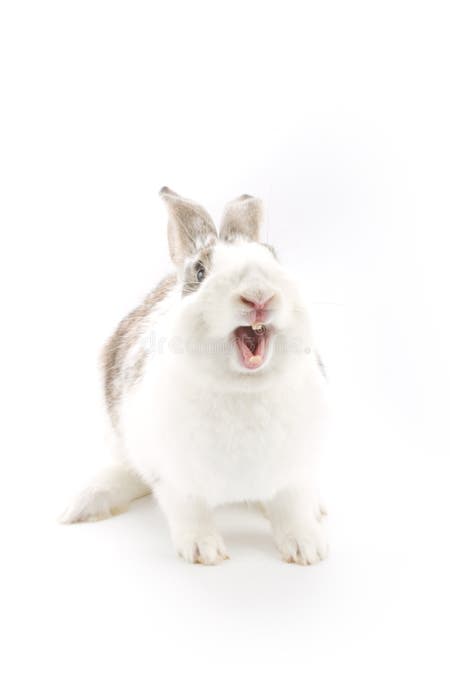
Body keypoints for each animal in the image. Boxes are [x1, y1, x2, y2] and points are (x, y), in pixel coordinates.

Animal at [61, 187, 329, 565]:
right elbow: (189, 512)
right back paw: (85, 503)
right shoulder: (174, 478)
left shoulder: (293, 474)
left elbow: (291, 510)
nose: (259, 294)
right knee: (129, 472)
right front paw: (205, 550)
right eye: (201, 272)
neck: (243, 388)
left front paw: (308, 548)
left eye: (275, 259)